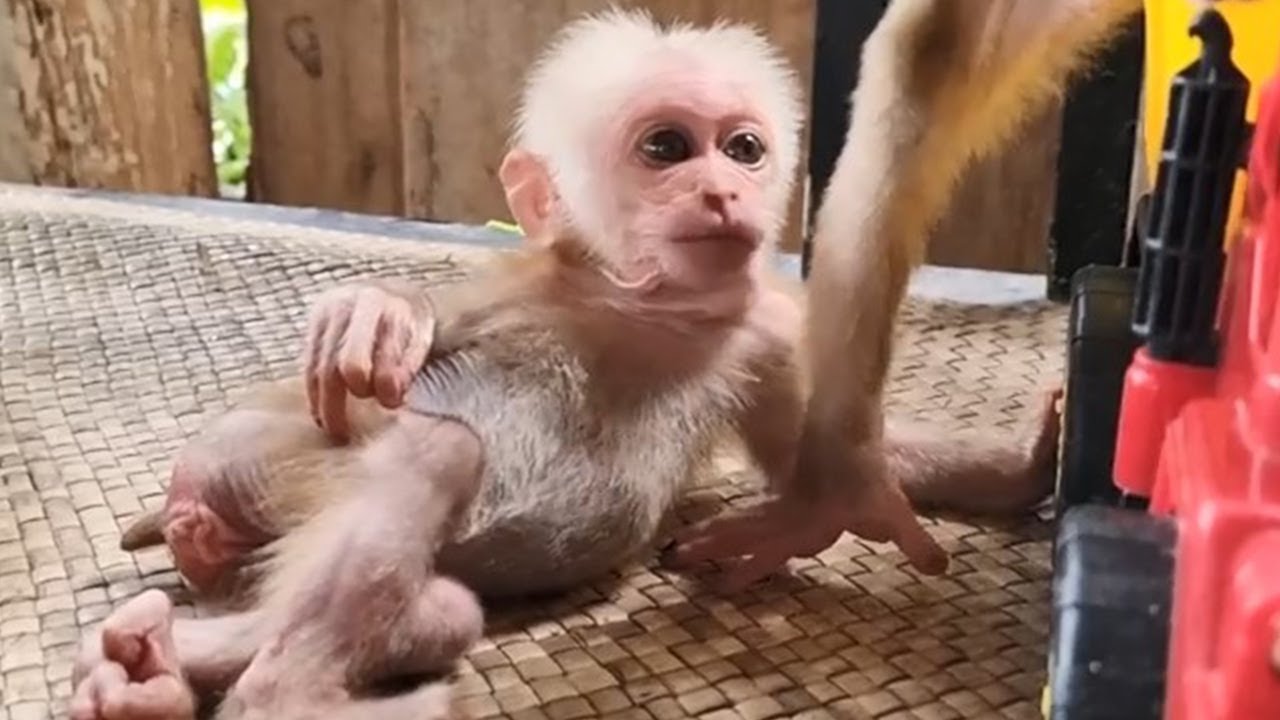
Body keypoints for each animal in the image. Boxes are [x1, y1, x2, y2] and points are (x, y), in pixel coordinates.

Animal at [69, 9, 1062, 720]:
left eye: (743, 148)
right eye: (667, 148)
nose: (724, 189)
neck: (650, 307)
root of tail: (185, 510)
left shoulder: (768, 331)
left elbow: (811, 466)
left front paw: (1029, 466)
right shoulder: (535, 283)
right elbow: (427, 332)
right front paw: (377, 313)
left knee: (440, 606)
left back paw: (156, 669)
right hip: (249, 451)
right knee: (433, 450)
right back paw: (285, 696)